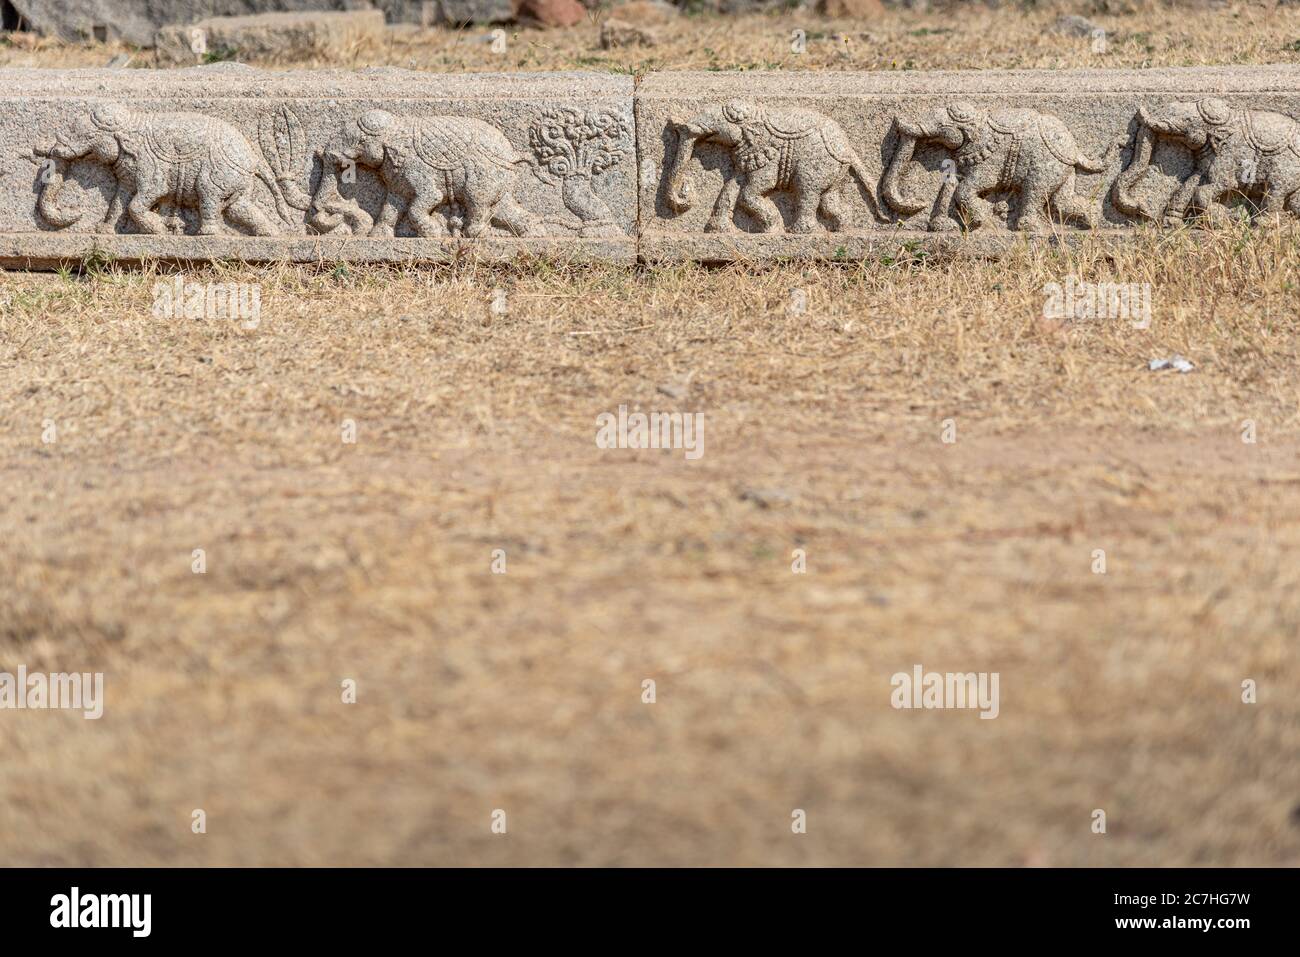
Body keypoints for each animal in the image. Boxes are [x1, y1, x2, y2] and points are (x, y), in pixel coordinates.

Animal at [32, 104, 308, 236]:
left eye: (85, 137)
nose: (74, 209)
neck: (131, 121)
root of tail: (253, 158)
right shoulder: (127, 167)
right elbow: (121, 197)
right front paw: (104, 231)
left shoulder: (149, 164)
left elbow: (148, 194)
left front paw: (159, 230)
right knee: (238, 207)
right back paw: (270, 234)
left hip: (219, 172)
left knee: (209, 195)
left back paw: (206, 234)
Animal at [306, 110, 543, 238]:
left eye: (359, 141)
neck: (396, 127)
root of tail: (512, 155)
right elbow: (393, 204)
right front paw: (378, 237)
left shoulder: (416, 167)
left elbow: (428, 198)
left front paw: (433, 233)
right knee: (503, 207)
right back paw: (532, 232)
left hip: (484, 174)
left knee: (478, 202)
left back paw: (473, 234)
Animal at [663, 100, 881, 234]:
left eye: (721, 121)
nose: (686, 187)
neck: (756, 114)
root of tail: (847, 147)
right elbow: (731, 185)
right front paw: (718, 230)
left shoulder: (769, 155)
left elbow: (754, 189)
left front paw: (770, 229)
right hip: (836, 171)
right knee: (829, 198)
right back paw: (841, 227)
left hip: (818, 163)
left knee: (807, 190)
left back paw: (800, 232)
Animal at [881, 102, 1116, 232]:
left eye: (938, 125)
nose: (918, 200)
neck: (976, 120)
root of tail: (1075, 150)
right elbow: (953, 181)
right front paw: (945, 227)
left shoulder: (992, 158)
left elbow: (970, 185)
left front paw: (978, 221)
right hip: (1064, 169)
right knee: (1060, 202)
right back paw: (1092, 220)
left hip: (1049, 165)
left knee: (1036, 189)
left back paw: (1028, 228)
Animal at [1111, 98, 1300, 226]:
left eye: (1182, 123)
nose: (1143, 209)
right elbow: (1193, 180)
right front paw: (1172, 224)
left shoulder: (1229, 153)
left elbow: (1221, 183)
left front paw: (1225, 218)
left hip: (1286, 168)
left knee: (1276, 189)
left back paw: (1263, 223)